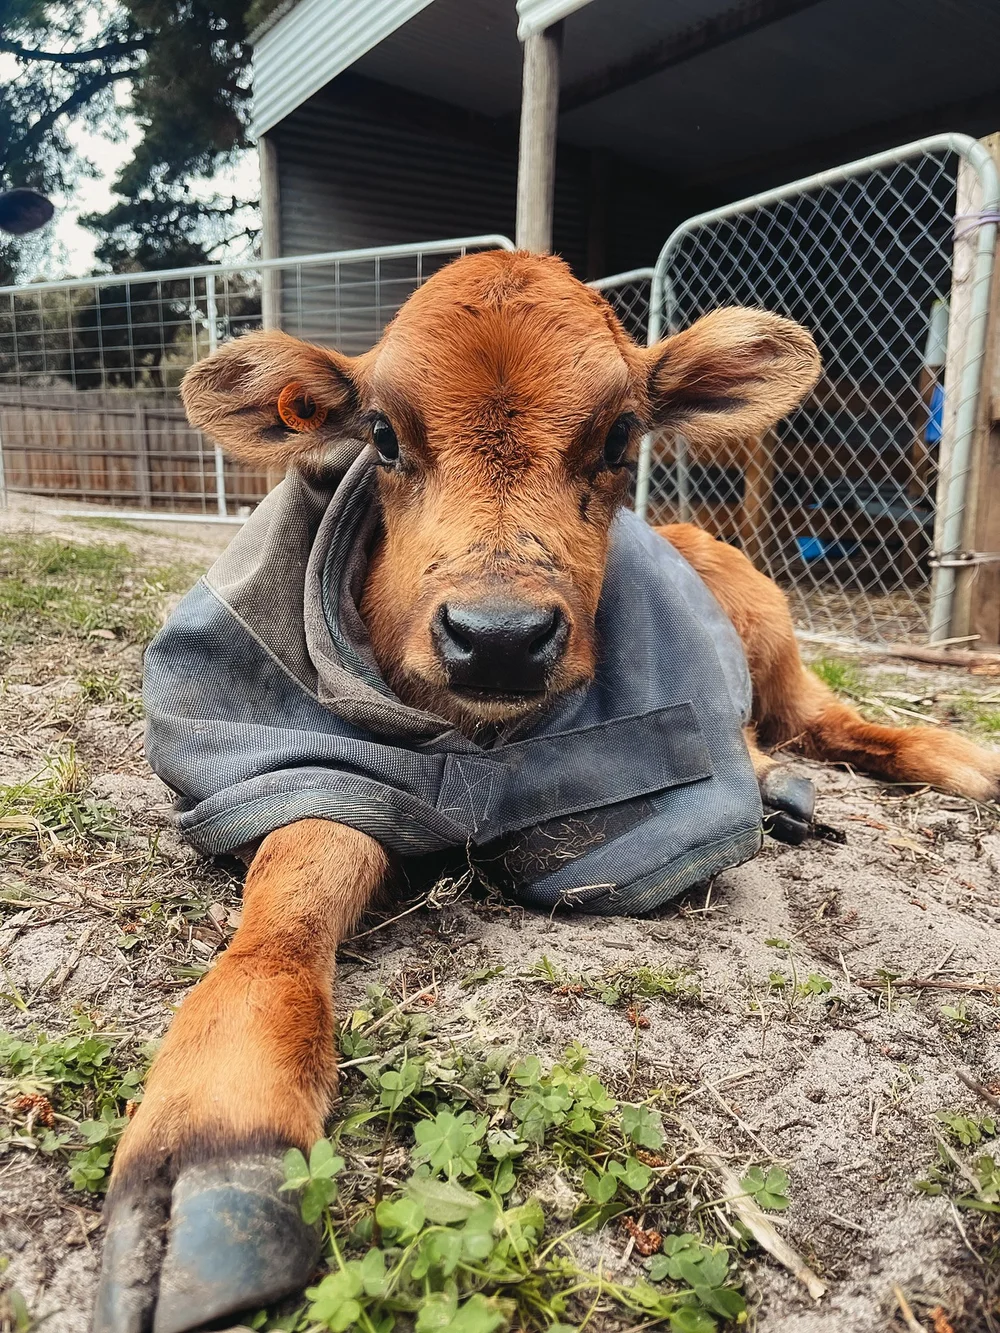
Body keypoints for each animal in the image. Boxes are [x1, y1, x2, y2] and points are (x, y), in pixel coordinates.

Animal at [93, 249, 1000, 1332]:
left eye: (617, 434)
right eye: (383, 434)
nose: (497, 637)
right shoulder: (307, 762)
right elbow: (288, 902)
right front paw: (207, 1146)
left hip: (767, 623)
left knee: (825, 716)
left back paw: (945, 760)